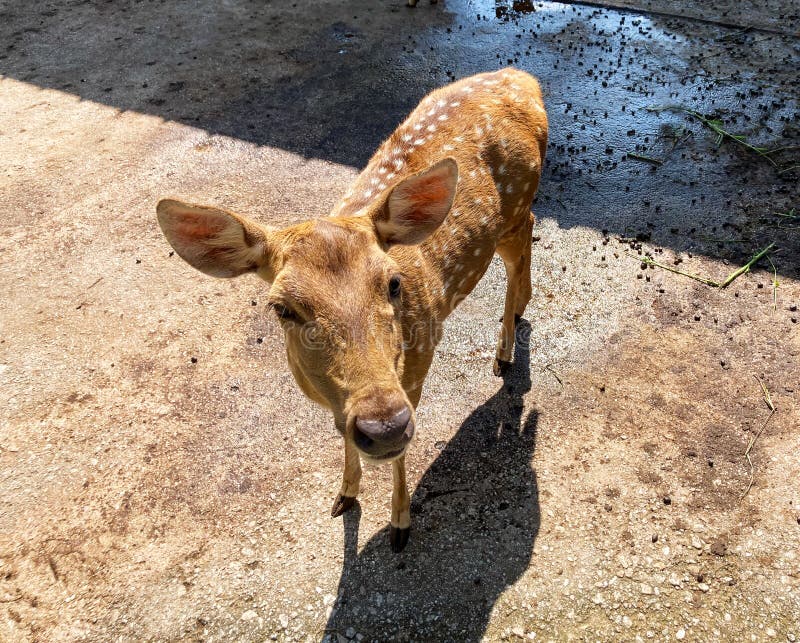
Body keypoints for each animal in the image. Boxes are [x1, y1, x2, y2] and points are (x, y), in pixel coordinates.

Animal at [156, 68, 548, 552]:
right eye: (282, 308)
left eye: (393, 283)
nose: (385, 426)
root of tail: (522, 78)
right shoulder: (340, 401)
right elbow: (343, 439)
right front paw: (344, 494)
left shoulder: (414, 373)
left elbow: (401, 462)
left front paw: (400, 526)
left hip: (516, 208)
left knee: (524, 242)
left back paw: (505, 350)